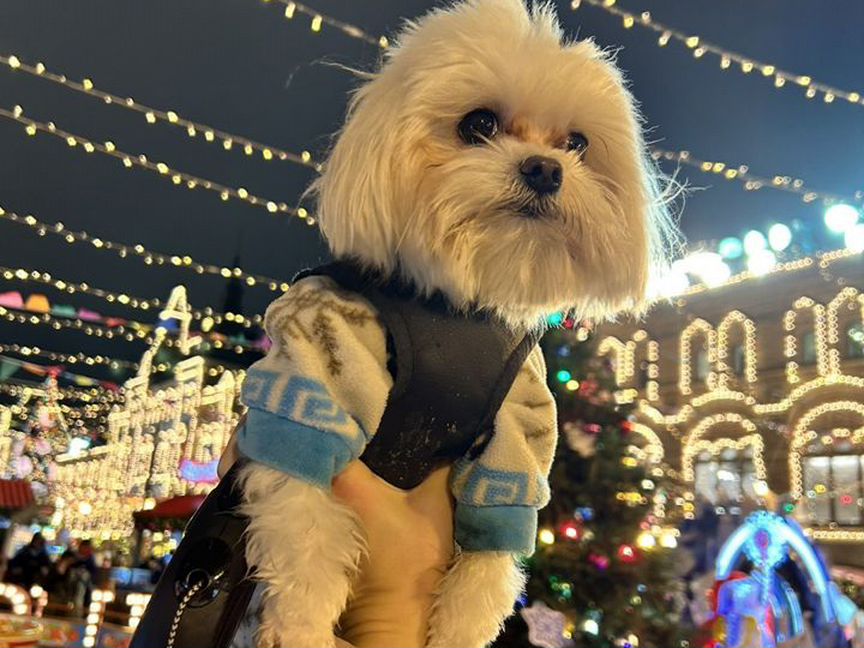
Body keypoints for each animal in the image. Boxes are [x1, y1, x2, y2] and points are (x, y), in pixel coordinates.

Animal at [235, 0, 676, 644]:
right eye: (479, 124)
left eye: (576, 143)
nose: (546, 168)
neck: (452, 309)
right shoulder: (315, 374)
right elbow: (306, 536)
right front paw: (300, 629)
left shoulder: (517, 426)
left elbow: (484, 569)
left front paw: (457, 630)